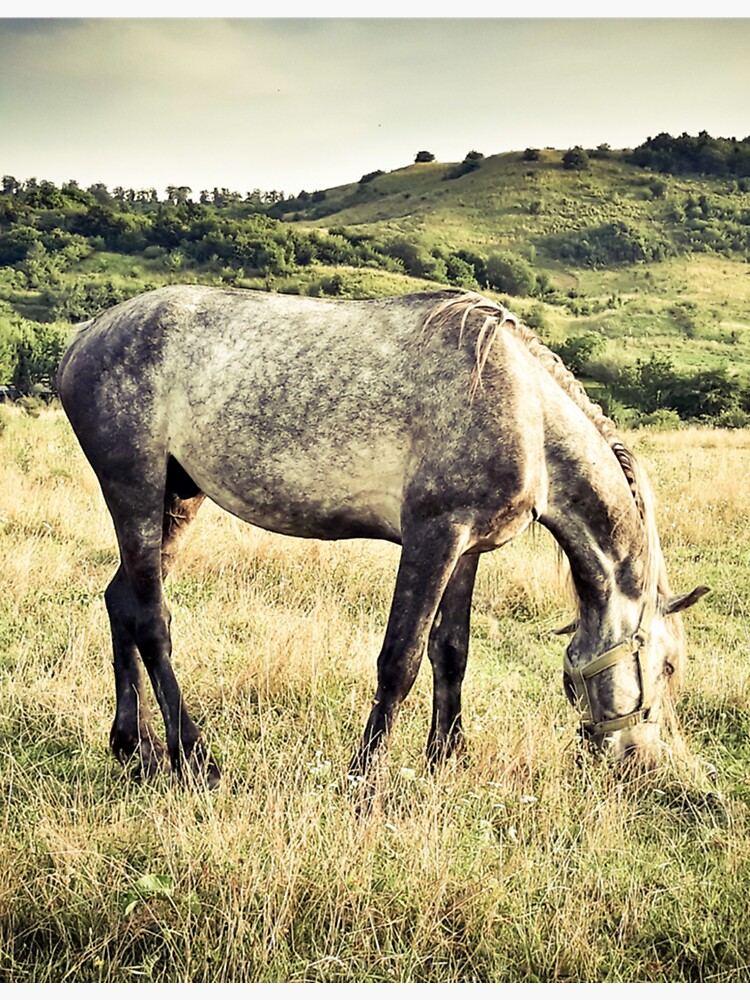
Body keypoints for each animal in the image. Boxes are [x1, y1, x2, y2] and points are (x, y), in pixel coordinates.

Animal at [56, 286, 708, 787]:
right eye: (670, 666)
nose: (646, 766)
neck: (527, 413)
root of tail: (85, 338)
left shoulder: (466, 550)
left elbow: (452, 653)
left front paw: (445, 761)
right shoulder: (433, 539)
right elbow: (401, 660)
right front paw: (363, 782)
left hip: (178, 499)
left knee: (121, 601)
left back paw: (134, 747)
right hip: (135, 492)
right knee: (151, 620)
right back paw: (193, 759)